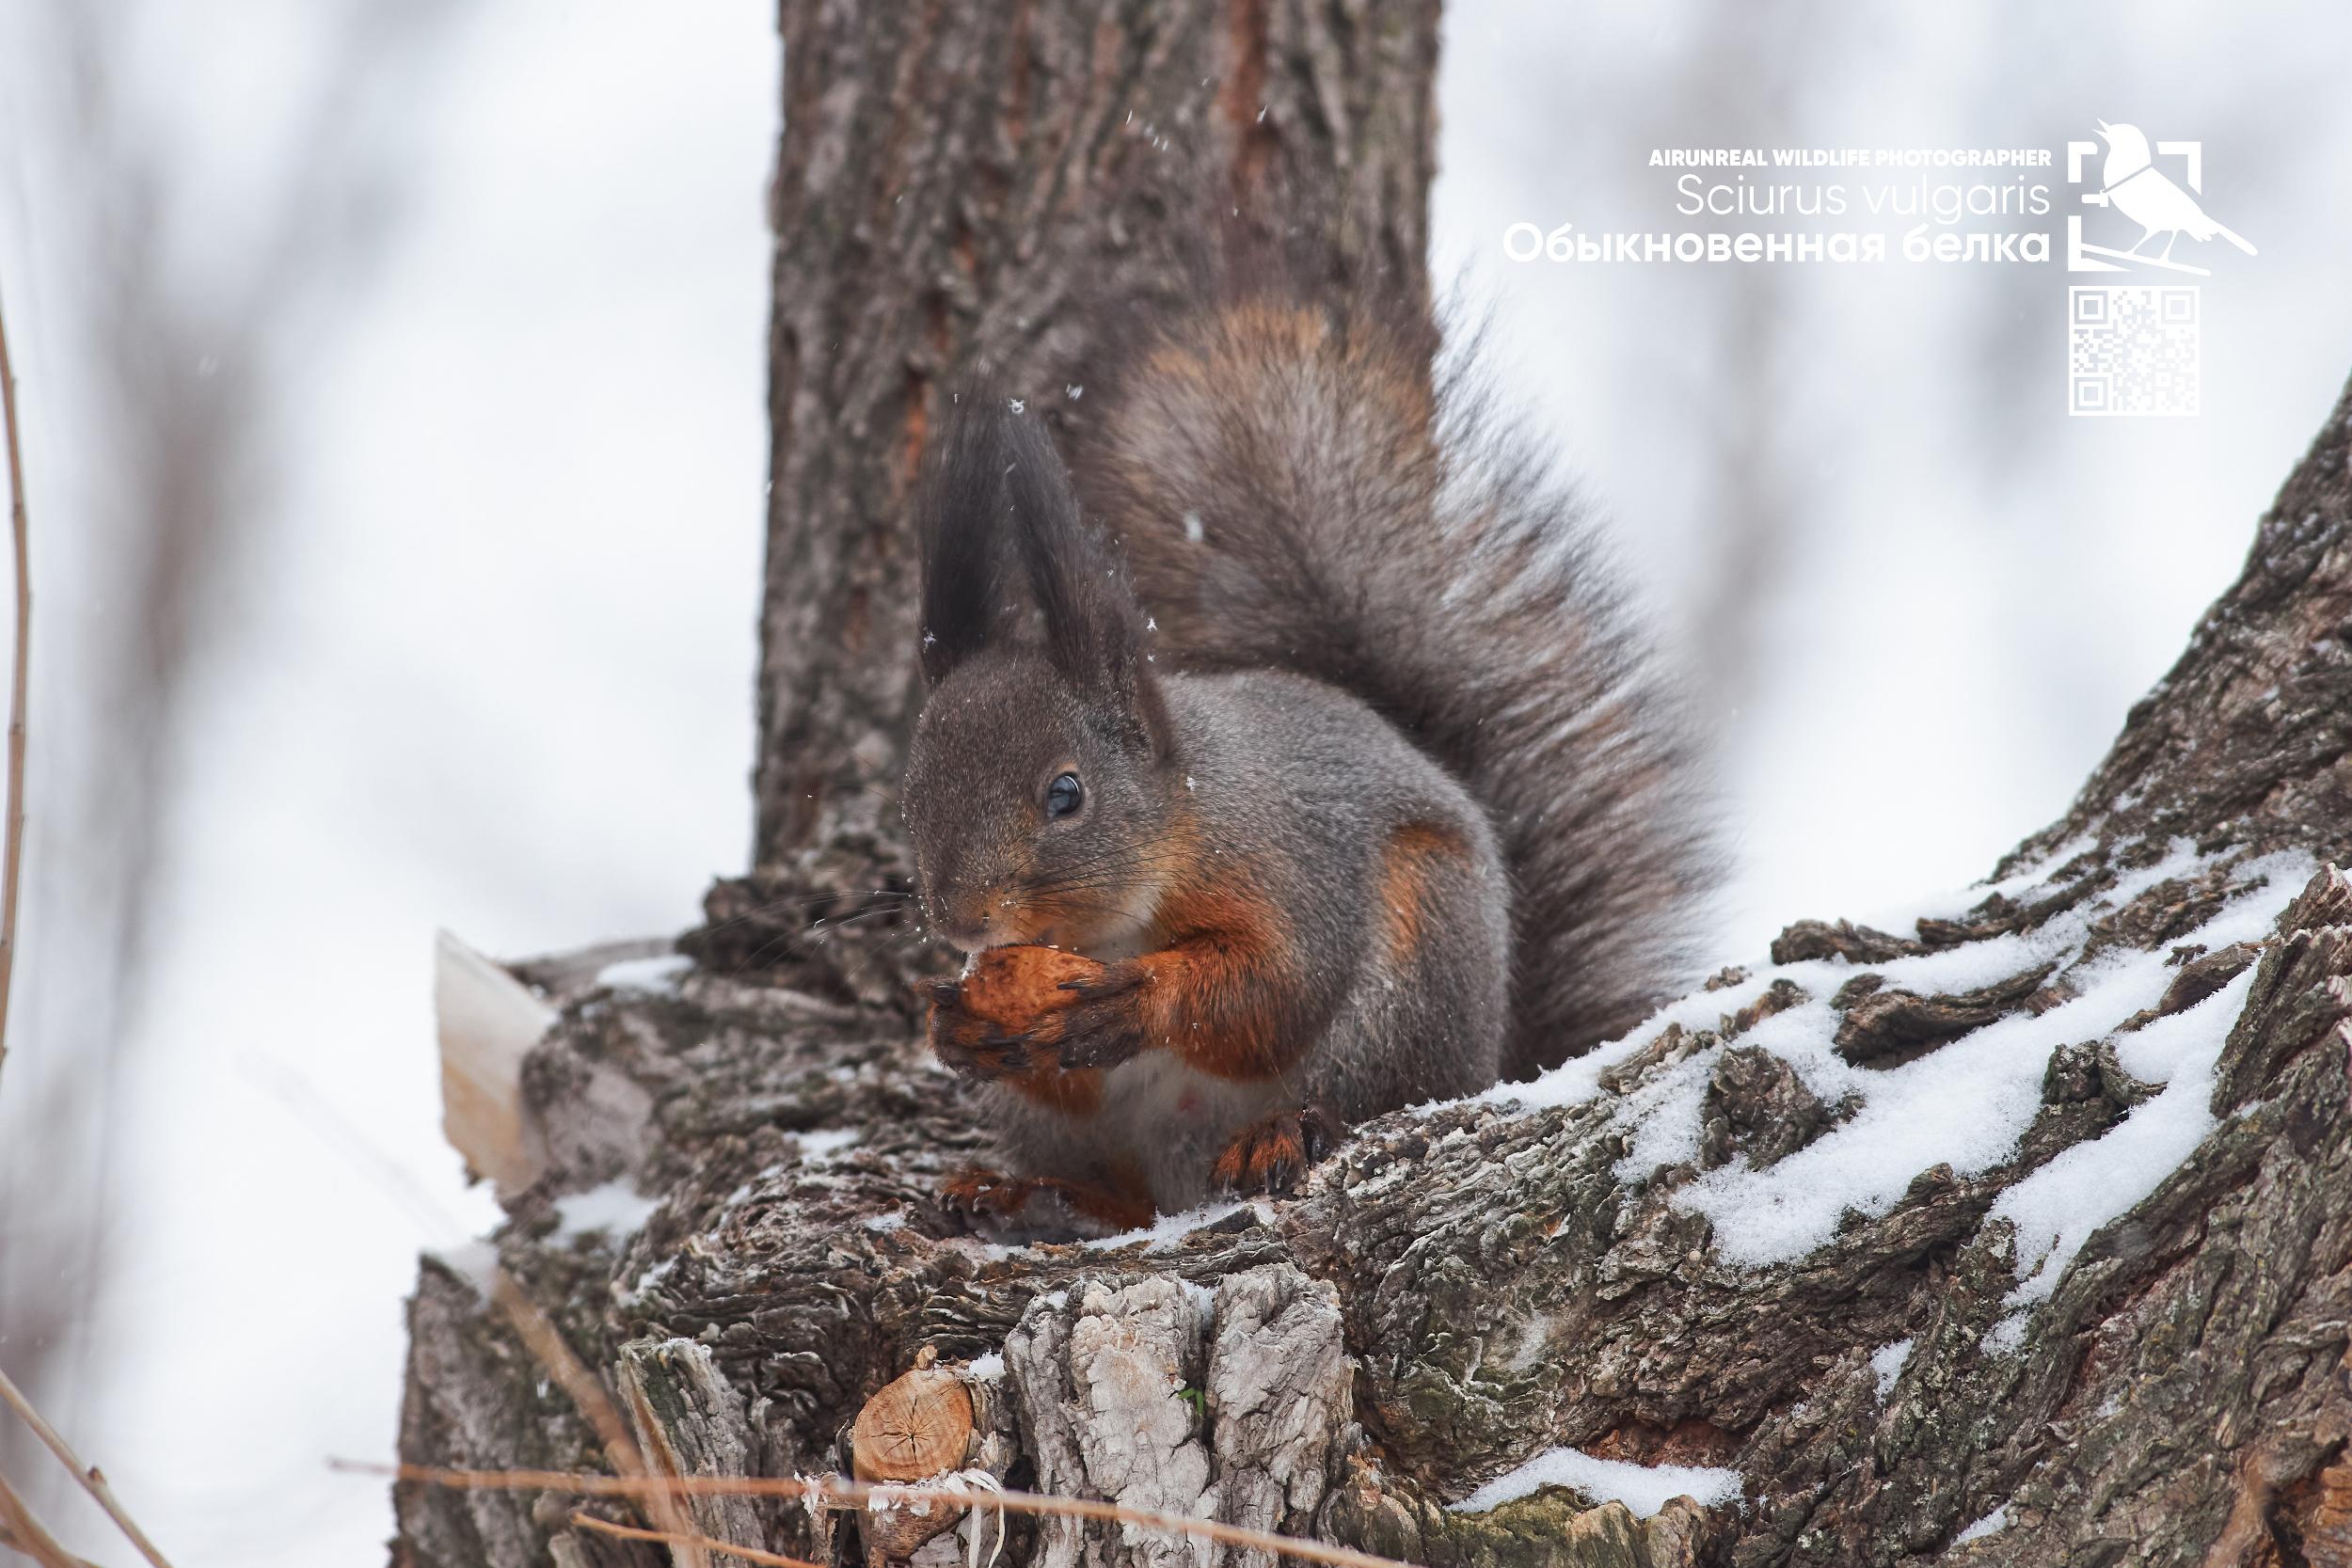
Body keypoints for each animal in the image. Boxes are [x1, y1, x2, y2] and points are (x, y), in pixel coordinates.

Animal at [898, 281, 1712, 1241]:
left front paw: (1140, 998)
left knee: (1358, 1099)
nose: (961, 922)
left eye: (1067, 794)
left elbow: (1278, 986)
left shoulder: (1286, 861)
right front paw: (955, 1027)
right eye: (912, 792)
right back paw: (1033, 1194)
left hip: (1409, 980)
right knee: (1126, 1192)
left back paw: (1283, 1131)